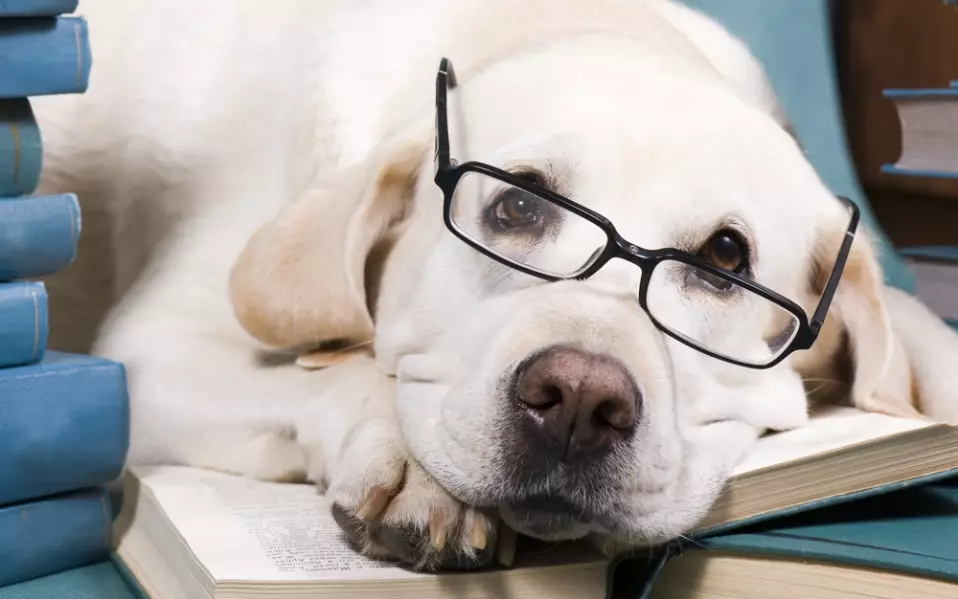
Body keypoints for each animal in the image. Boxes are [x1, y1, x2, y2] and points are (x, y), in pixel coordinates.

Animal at [33, 0, 958, 572]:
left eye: (725, 259)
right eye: (515, 204)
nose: (580, 400)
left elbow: (914, 323)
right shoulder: (151, 351)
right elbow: (343, 371)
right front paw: (418, 473)